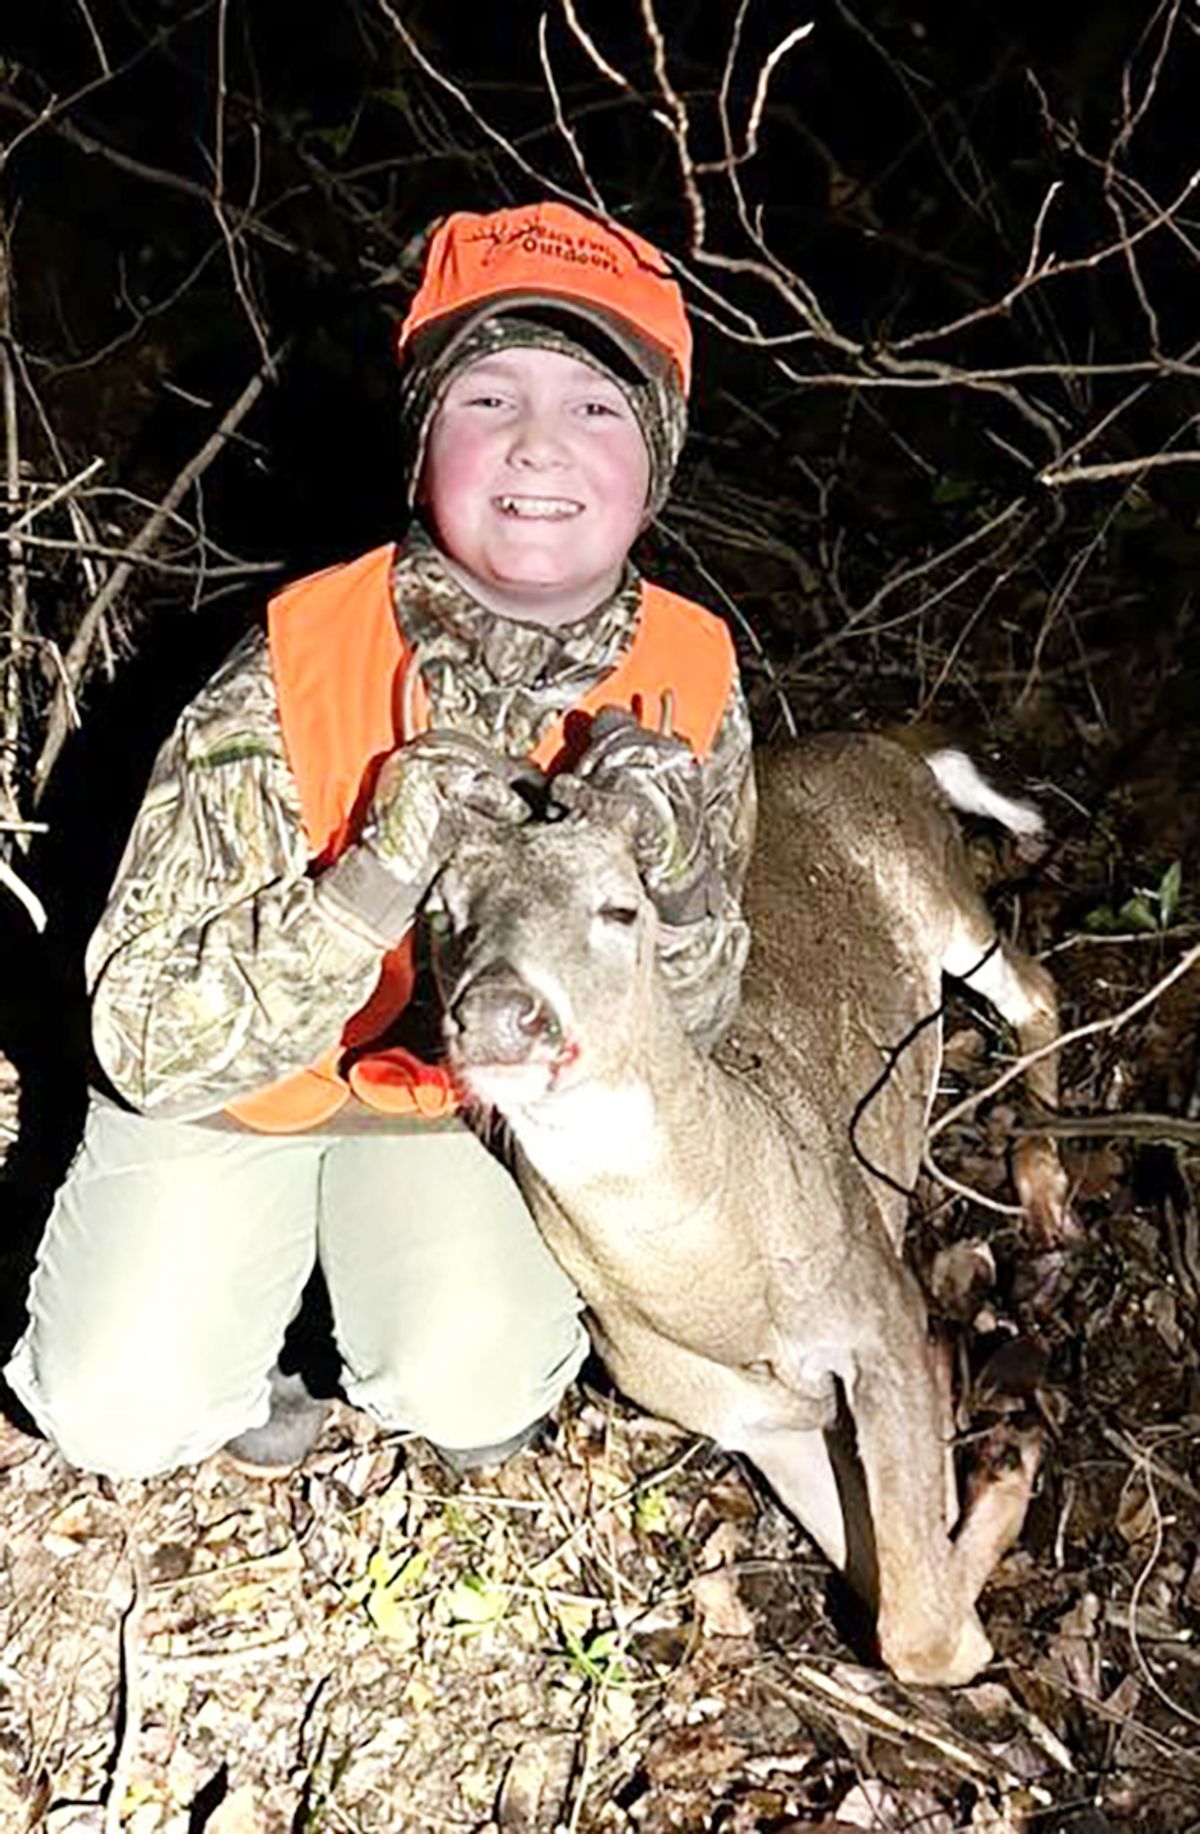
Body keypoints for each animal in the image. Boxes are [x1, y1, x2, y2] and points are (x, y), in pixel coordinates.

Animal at [431, 732, 1070, 1686]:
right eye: (442, 918)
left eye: (620, 909)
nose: (503, 1015)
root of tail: (891, 746)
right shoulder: (751, 1420)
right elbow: (911, 1617)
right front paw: (991, 1463)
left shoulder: (878, 1310)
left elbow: (924, 1631)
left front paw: (1005, 1453)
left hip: (943, 896)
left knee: (1036, 987)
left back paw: (1044, 1178)